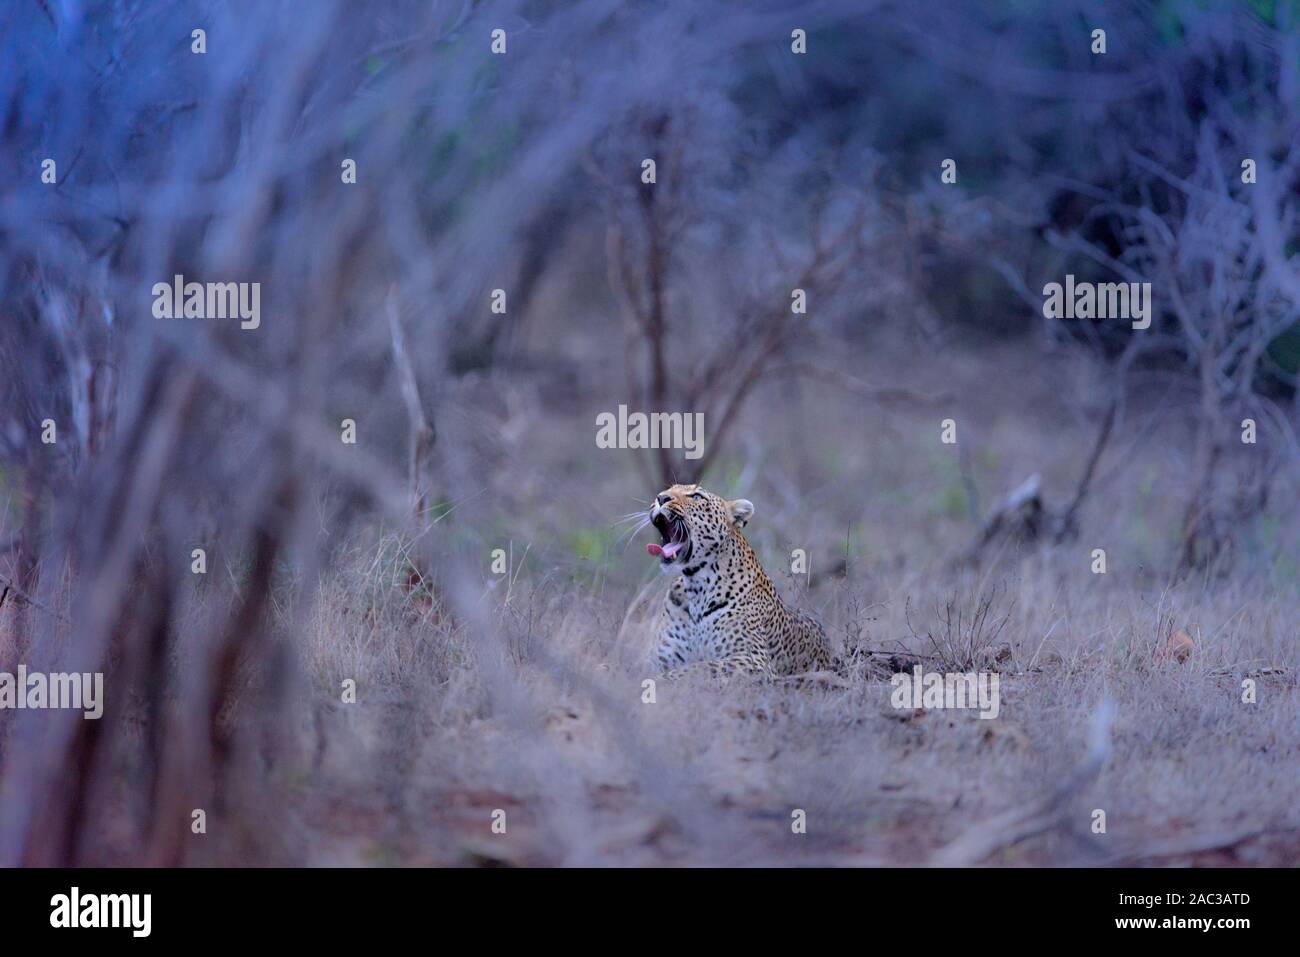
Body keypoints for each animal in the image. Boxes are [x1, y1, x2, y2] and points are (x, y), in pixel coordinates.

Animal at [643, 483, 841, 684]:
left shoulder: (754, 659)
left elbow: (699, 668)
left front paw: (659, 681)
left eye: (697, 497)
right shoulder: (663, 657)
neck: (695, 584)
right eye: (669, 489)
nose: (661, 498)